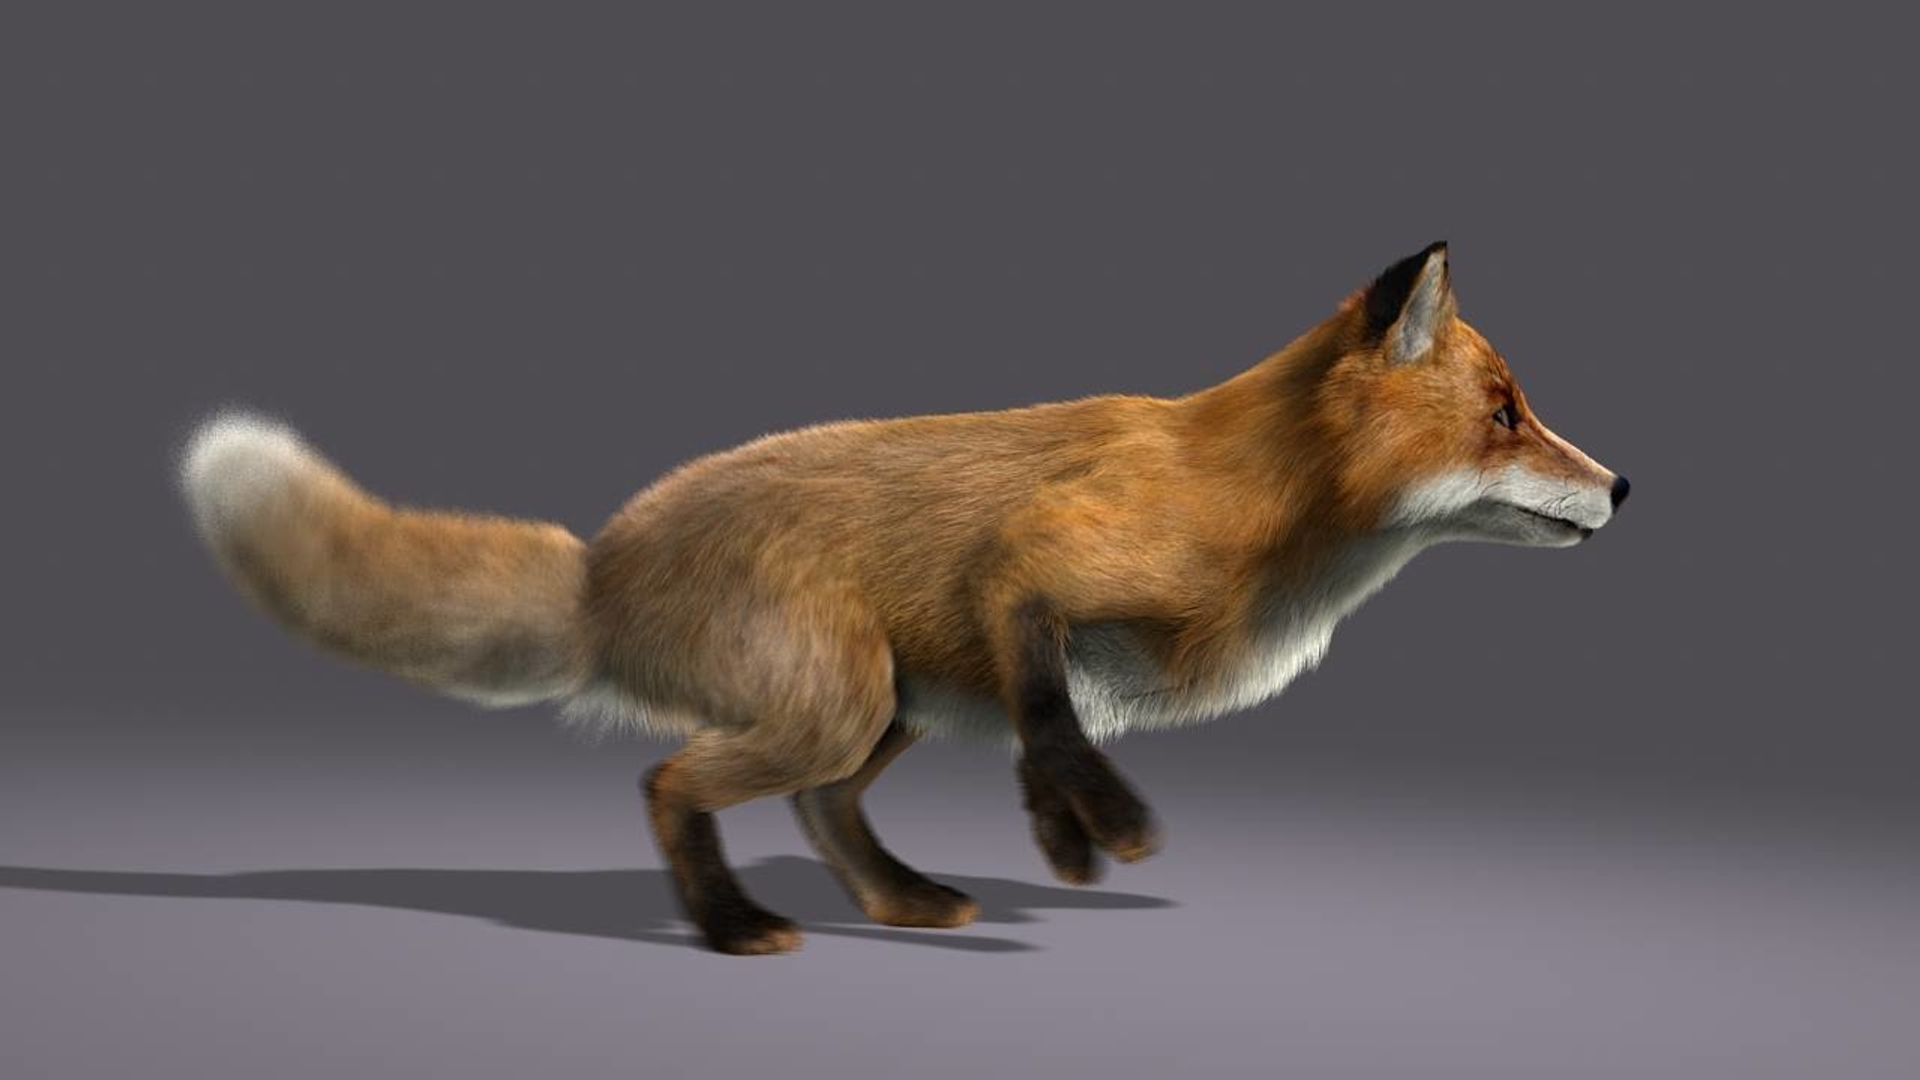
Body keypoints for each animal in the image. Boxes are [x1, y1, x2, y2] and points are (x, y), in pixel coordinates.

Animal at [179, 243, 1628, 955]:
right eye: (1507, 415)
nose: (1623, 485)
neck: (1254, 506)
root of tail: (601, 562)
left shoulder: (1011, 626)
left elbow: (1046, 727)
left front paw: (1058, 840)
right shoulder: (1033, 565)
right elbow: (1052, 707)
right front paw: (1097, 826)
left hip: (888, 713)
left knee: (820, 810)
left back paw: (897, 901)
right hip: (838, 701)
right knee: (668, 783)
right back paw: (729, 927)